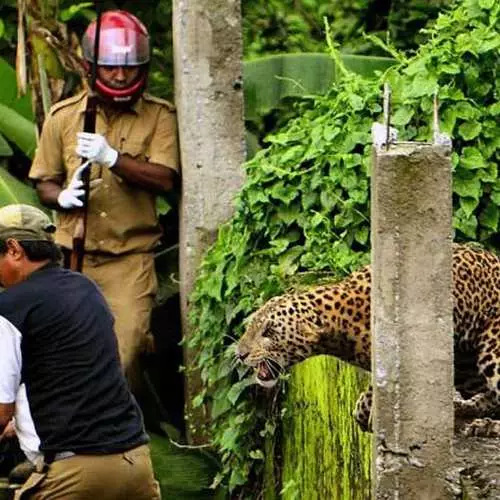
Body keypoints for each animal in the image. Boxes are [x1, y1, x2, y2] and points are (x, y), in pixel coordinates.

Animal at [236, 244, 500, 436]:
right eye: (251, 327)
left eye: (269, 332)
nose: (240, 354)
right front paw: (365, 413)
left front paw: (372, 412)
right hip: (465, 367)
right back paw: (465, 409)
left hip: (492, 346)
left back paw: (485, 426)